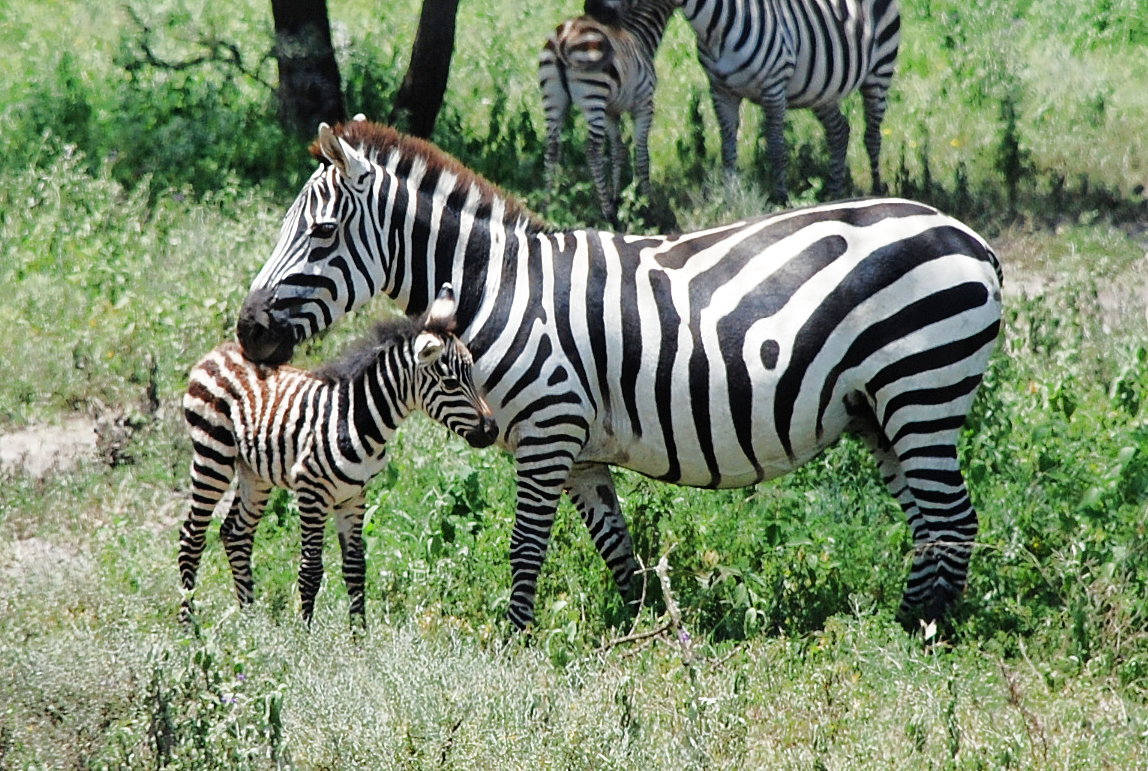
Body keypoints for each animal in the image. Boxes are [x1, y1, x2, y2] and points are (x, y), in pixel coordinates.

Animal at [179, 285, 498, 626]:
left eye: (472, 373)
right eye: (451, 383)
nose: (492, 431)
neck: (359, 418)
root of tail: (218, 351)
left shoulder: (354, 495)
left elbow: (356, 567)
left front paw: (359, 634)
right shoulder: (311, 491)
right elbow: (310, 570)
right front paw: (304, 633)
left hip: (253, 471)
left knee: (236, 533)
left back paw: (250, 620)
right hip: (213, 453)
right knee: (192, 536)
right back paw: (188, 625)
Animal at [236, 117, 1003, 632]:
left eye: (322, 233)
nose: (247, 331)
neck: (497, 287)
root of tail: (973, 240)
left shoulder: (546, 432)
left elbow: (524, 549)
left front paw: (513, 646)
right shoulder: (578, 452)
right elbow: (620, 556)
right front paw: (645, 636)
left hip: (921, 392)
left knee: (952, 519)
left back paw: (924, 636)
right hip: (881, 412)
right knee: (932, 524)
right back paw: (908, 622)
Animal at [539, 0, 677, 224]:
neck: (639, 34)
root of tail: (562, 37)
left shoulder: (612, 112)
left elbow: (617, 151)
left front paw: (617, 197)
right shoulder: (644, 105)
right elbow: (641, 155)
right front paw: (647, 204)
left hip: (552, 99)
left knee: (552, 148)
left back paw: (546, 205)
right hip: (593, 96)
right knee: (593, 150)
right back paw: (609, 215)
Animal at [599, 0, 901, 203]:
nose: (599, 13)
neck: (715, 29)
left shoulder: (774, 87)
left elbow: (776, 148)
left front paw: (780, 199)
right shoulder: (721, 91)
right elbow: (728, 148)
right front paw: (730, 195)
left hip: (880, 70)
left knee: (872, 136)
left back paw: (876, 191)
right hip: (822, 88)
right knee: (839, 130)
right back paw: (835, 194)